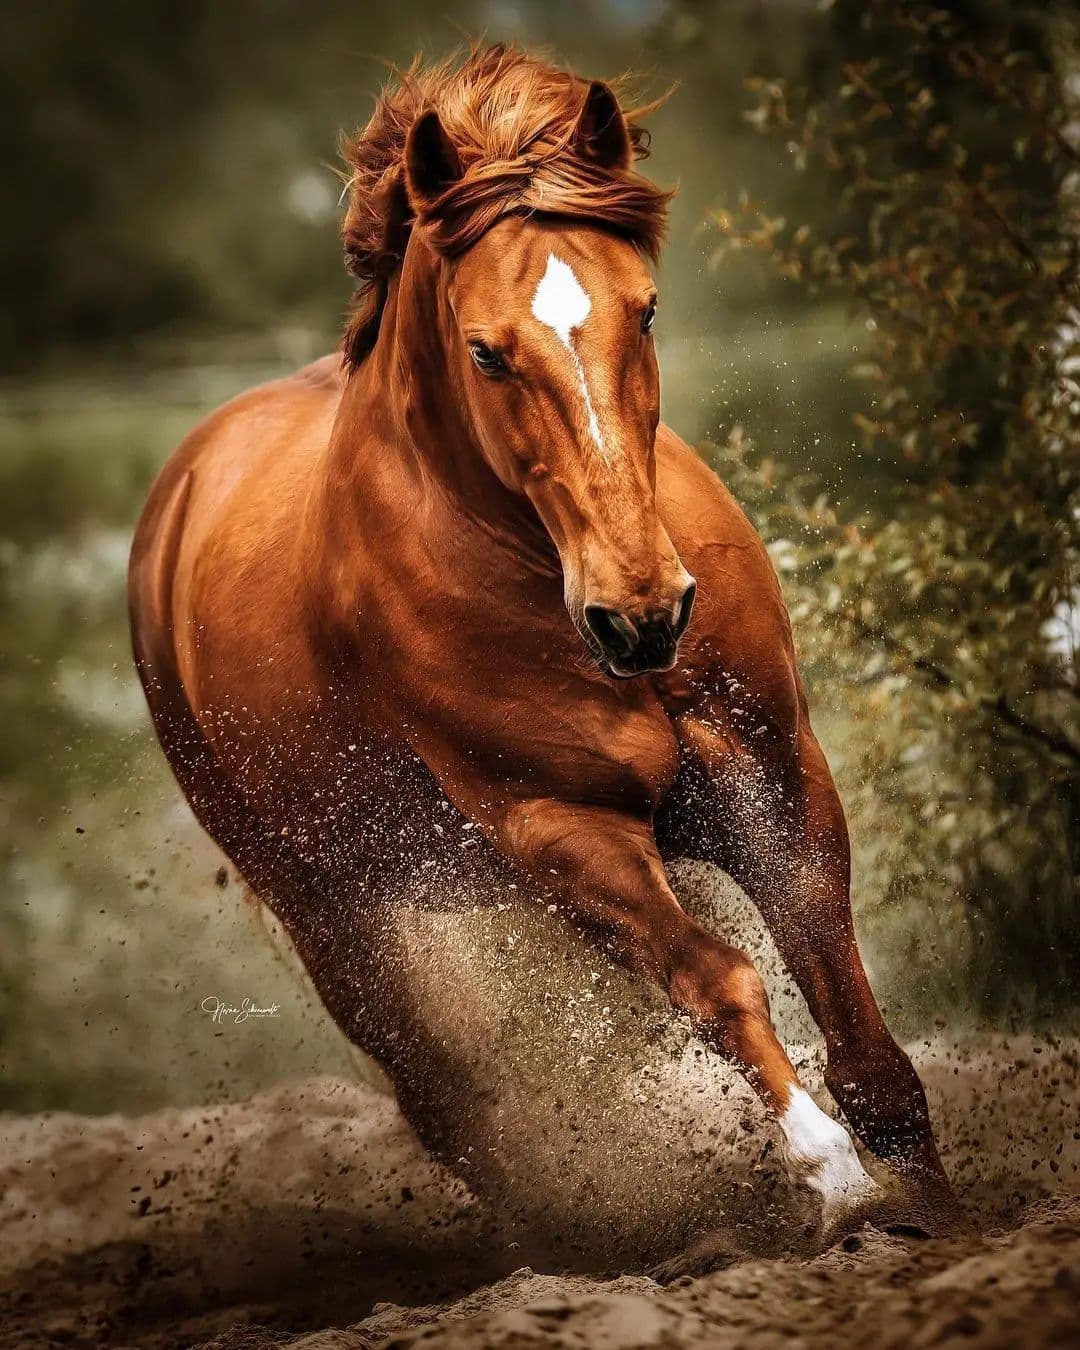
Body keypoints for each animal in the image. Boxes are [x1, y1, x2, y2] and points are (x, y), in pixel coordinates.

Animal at [128, 45, 958, 1274]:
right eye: (486, 350)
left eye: (647, 310)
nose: (643, 613)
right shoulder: (562, 830)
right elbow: (721, 980)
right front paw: (839, 1185)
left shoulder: (775, 770)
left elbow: (849, 1007)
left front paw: (935, 1209)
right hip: (328, 910)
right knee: (443, 1101)